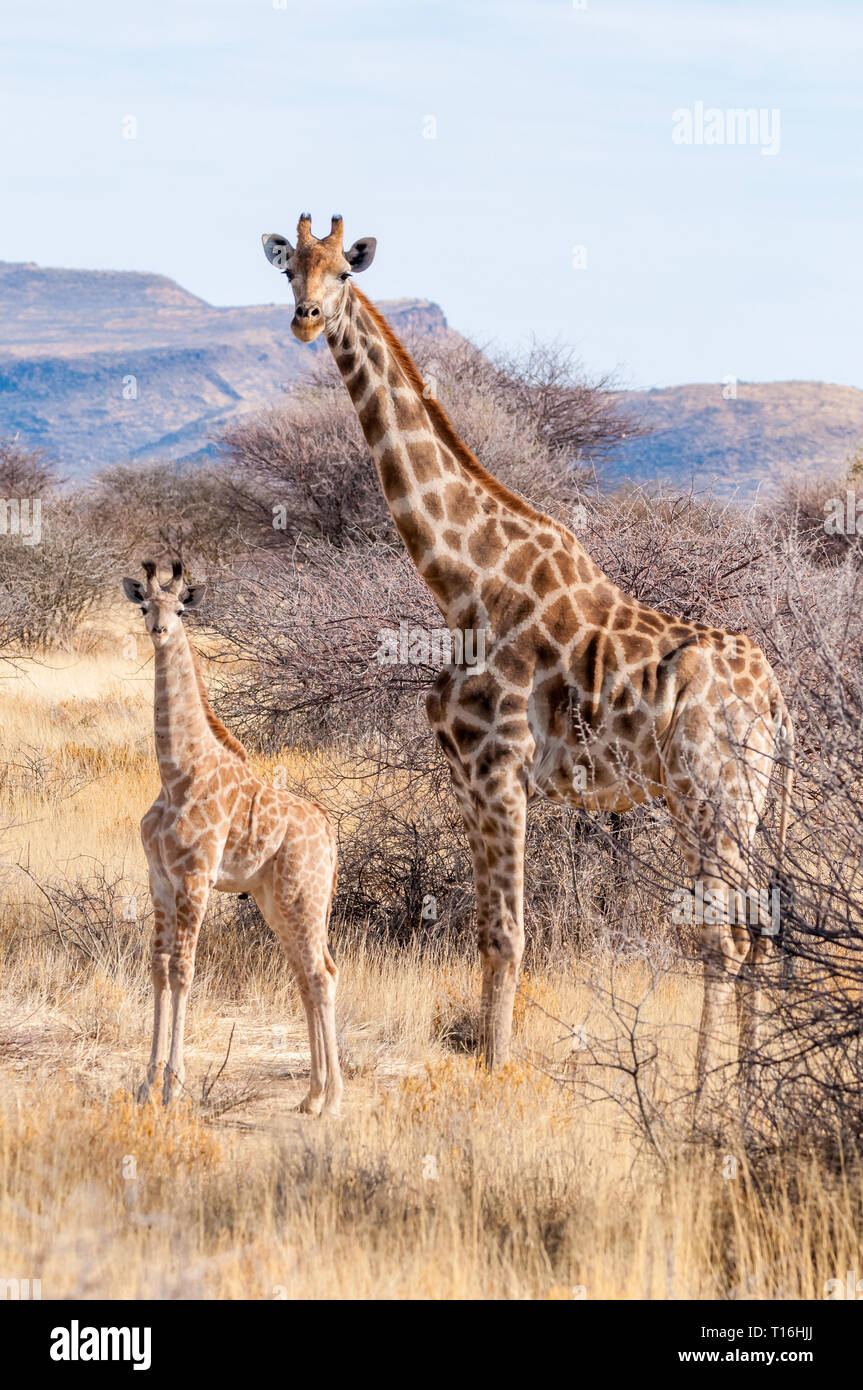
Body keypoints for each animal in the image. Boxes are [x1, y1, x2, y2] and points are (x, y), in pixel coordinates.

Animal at [123, 560, 342, 1114]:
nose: (159, 630)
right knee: (308, 974)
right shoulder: (159, 879)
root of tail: (329, 831)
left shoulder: (196, 878)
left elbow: (183, 969)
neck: (176, 772)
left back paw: (331, 1099)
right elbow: (157, 968)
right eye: (144, 605)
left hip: (305, 895)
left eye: (181, 610)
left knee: (321, 974)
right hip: (275, 899)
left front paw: (174, 1086)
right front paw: (146, 1085)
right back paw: (311, 1096)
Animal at [261, 214, 795, 1102]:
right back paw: (749, 1097)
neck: (463, 584)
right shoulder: (469, 776)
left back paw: (698, 1107)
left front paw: (495, 1069)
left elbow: (505, 936)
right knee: (755, 933)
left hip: (710, 794)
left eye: (342, 272)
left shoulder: (498, 769)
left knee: (721, 939)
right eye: (289, 269)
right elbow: (488, 931)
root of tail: (781, 706)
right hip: (747, 802)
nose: (304, 319)